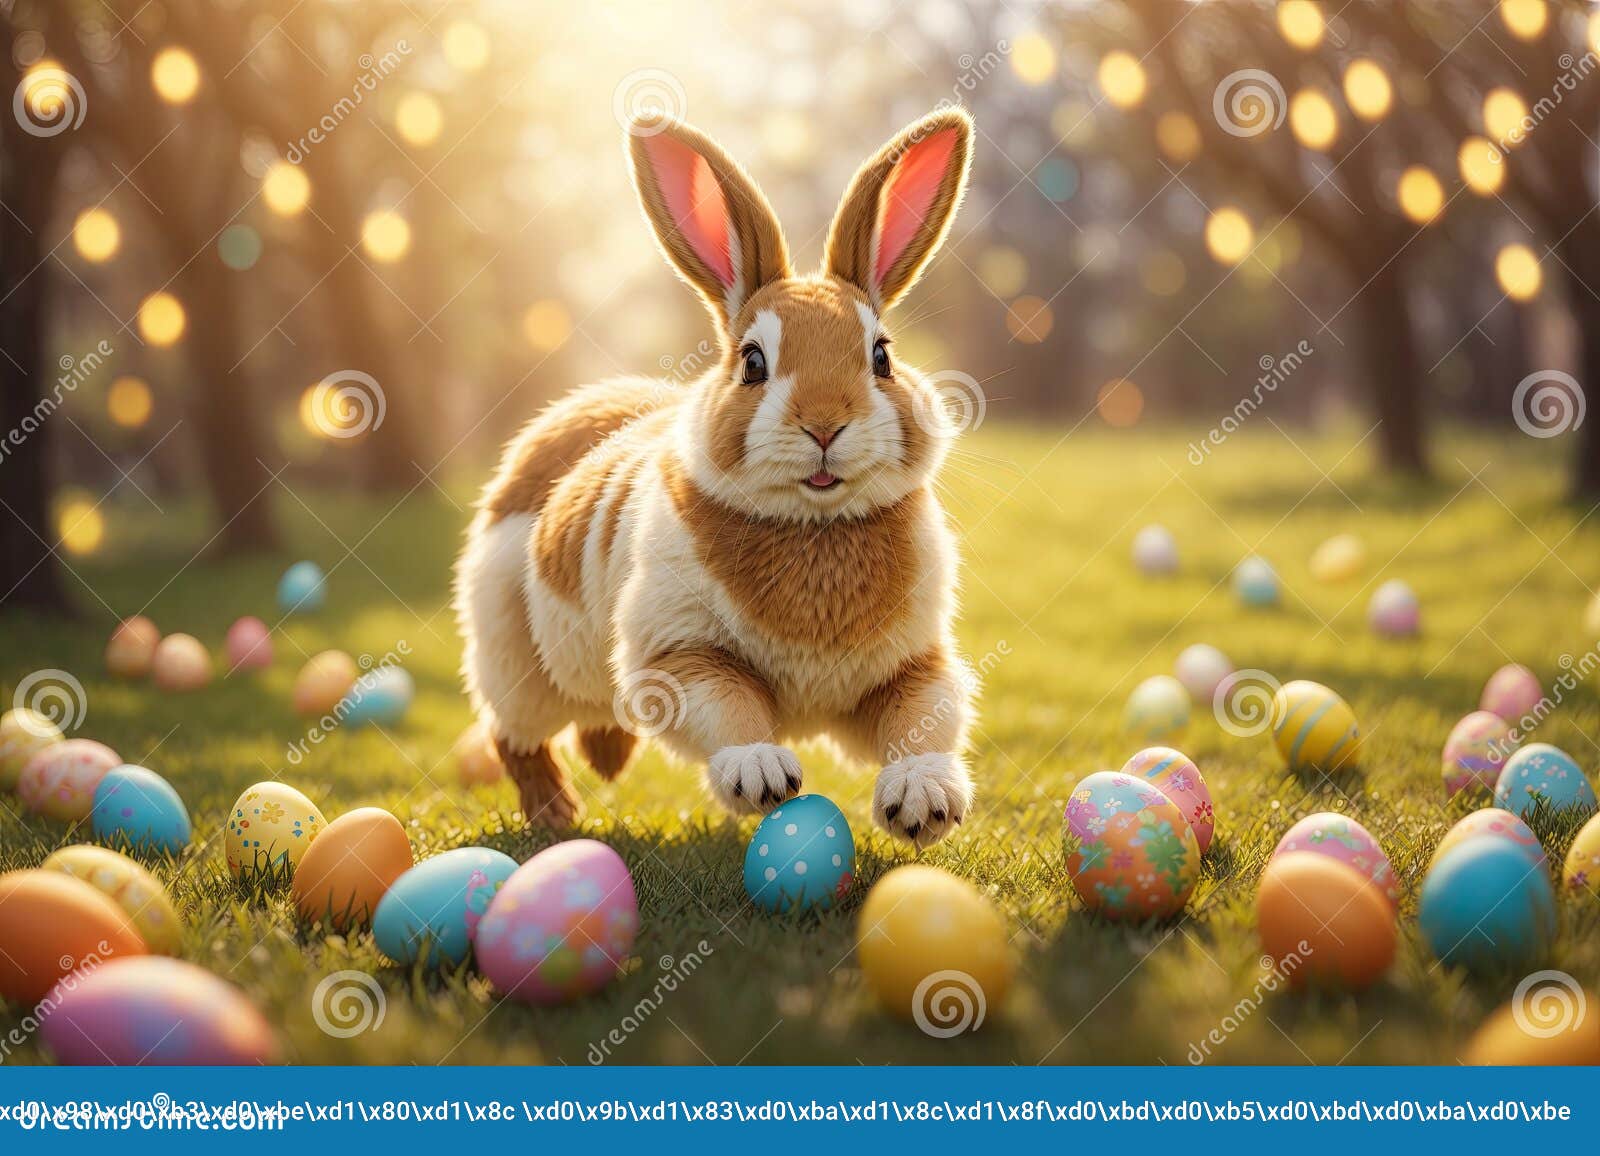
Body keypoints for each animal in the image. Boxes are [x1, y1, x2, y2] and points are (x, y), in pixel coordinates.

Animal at [454, 107, 976, 847]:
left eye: (881, 356)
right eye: (753, 362)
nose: (825, 426)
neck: (814, 523)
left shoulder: (911, 665)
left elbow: (924, 717)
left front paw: (923, 799)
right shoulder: (679, 654)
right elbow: (727, 705)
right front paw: (761, 774)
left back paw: (605, 760)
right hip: (512, 660)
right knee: (516, 738)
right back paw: (557, 816)